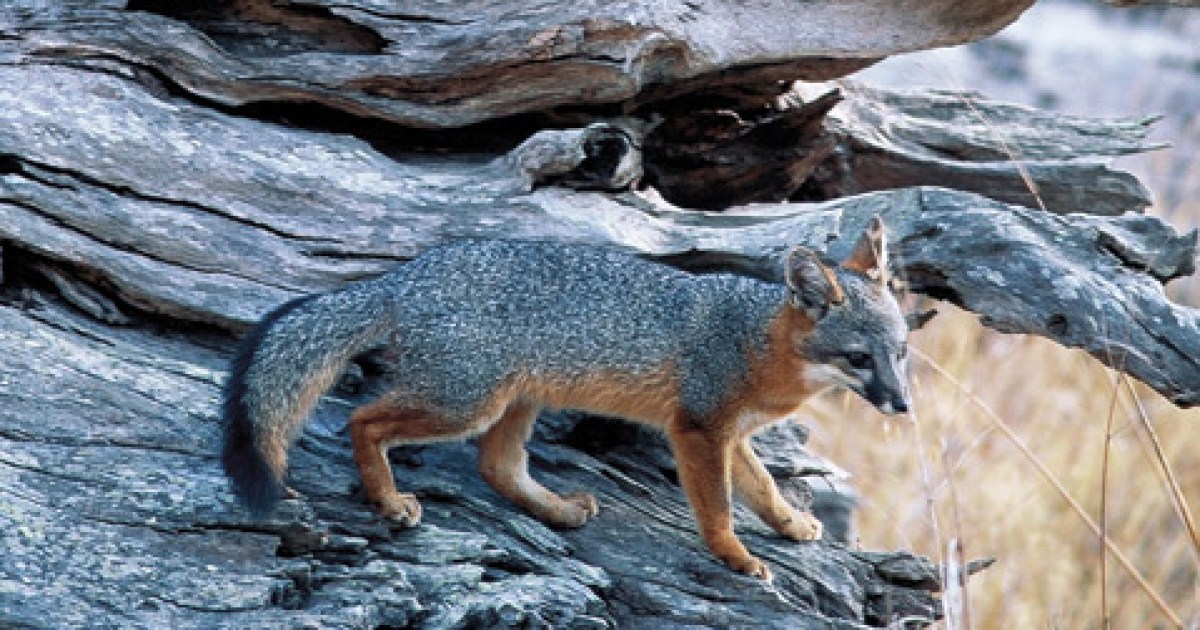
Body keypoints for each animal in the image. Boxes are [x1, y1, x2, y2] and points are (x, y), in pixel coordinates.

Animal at [221, 216, 910, 580]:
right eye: (860, 359)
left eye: (901, 353)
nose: (903, 406)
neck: (754, 339)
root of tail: (404, 276)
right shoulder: (697, 430)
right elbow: (717, 509)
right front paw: (737, 558)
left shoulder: (730, 433)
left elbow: (763, 489)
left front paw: (791, 523)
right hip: (463, 402)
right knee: (364, 421)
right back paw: (389, 501)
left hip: (514, 403)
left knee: (496, 466)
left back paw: (556, 511)